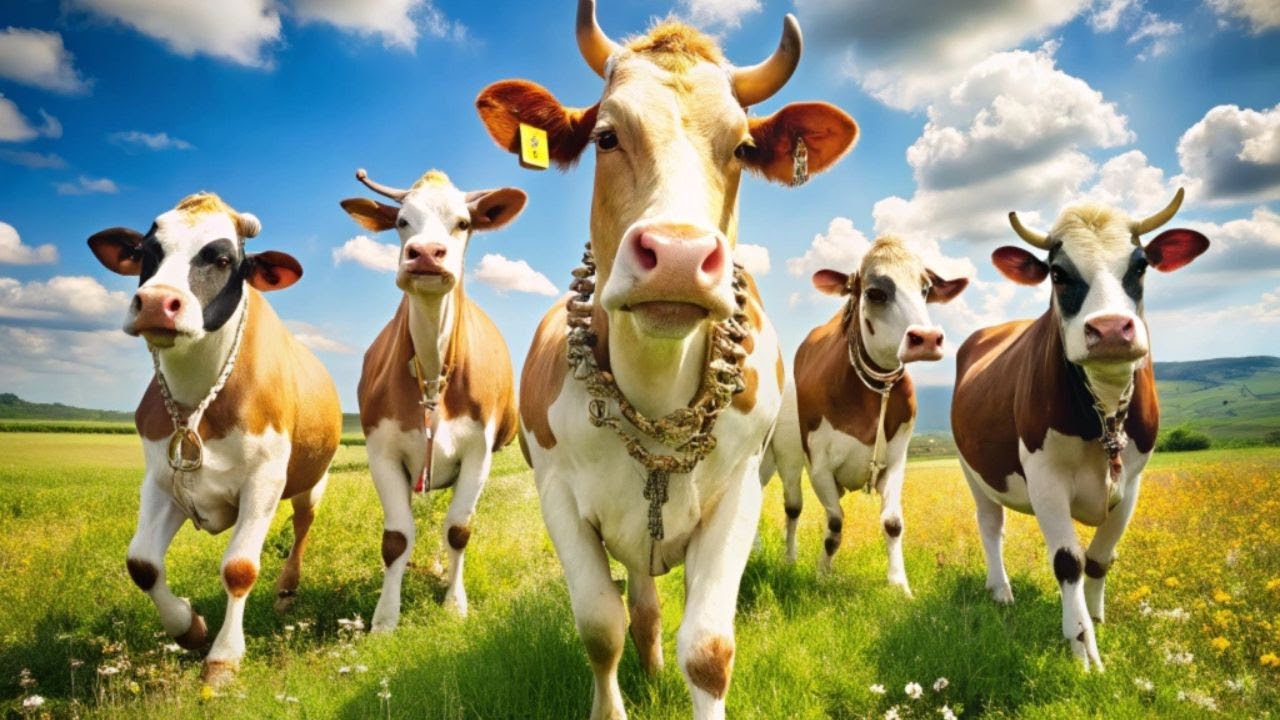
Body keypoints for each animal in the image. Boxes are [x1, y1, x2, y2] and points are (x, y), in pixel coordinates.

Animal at [86, 192, 342, 684]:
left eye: (222, 258)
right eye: (147, 251)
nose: (156, 303)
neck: (197, 396)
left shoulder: (263, 480)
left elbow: (239, 568)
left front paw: (223, 657)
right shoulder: (162, 480)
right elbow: (142, 563)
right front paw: (189, 627)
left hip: (313, 481)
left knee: (302, 524)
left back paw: (287, 590)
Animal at [338, 168, 525, 628]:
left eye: (463, 223)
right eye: (402, 222)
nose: (425, 253)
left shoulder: (479, 451)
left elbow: (458, 529)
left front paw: (454, 603)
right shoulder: (382, 451)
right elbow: (396, 537)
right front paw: (385, 619)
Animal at [474, 2, 858, 718]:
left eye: (742, 148)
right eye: (605, 136)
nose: (678, 256)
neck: (653, 384)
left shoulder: (740, 492)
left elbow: (707, 648)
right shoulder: (558, 497)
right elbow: (601, 627)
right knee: (640, 605)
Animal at [760, 237, 968, 593]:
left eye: (925, 289)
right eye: (875, 293)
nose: (927, 339)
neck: (871, 394)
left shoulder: (896, 459)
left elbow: (893, 522)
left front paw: (899, 584)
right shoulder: (819, 467)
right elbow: (834, 522)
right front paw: (822, 574)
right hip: (786, 457)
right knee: (793, 507)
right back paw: (789, 559)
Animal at [951, 189, 1209, 670]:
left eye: (1141, 265)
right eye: (1058, 273)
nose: (1109, 330)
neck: (1103, 411)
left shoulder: (1131, 482)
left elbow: (1100, 559)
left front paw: (1096, 616)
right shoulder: (1045, 479)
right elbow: (1068, 562)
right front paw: (1082, 644)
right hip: (973, 471)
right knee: (991, 526)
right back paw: (1000, 590)